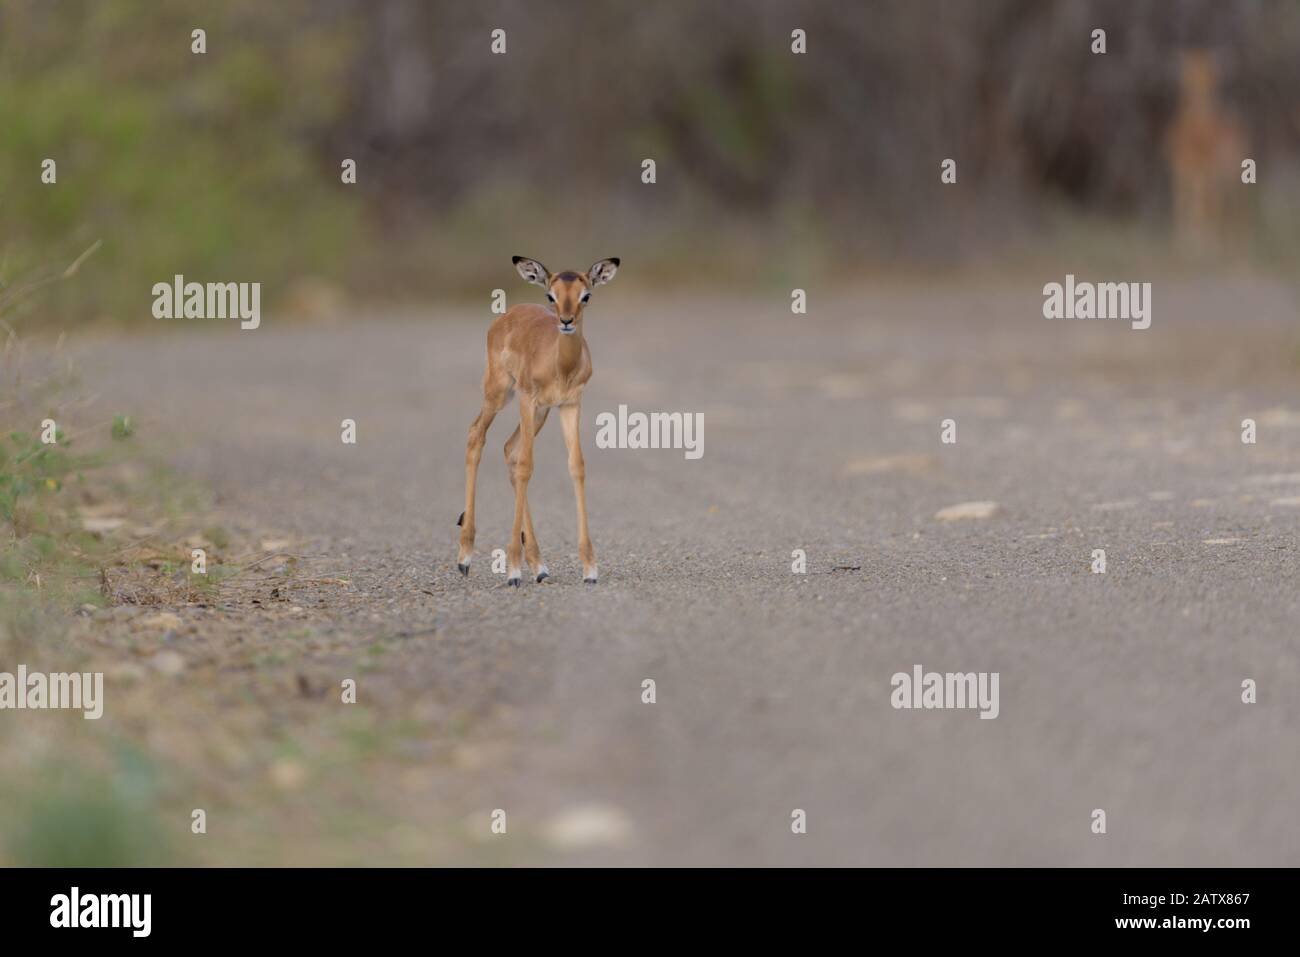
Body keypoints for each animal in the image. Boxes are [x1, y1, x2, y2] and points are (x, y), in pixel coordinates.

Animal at [457, 256, 620, 586]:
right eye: (550, 295)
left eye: (586, 295)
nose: (567, 321)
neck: (561, 364)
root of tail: (505, 317)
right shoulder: (527, 398)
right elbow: (526, 467)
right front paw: (512, 571)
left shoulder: (570, 405)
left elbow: (576, 466)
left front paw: (590, 569)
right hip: (500, 393)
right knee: (477, 435)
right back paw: (465, 558)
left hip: (540, 413)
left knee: (509, 449)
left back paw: (539, 566)